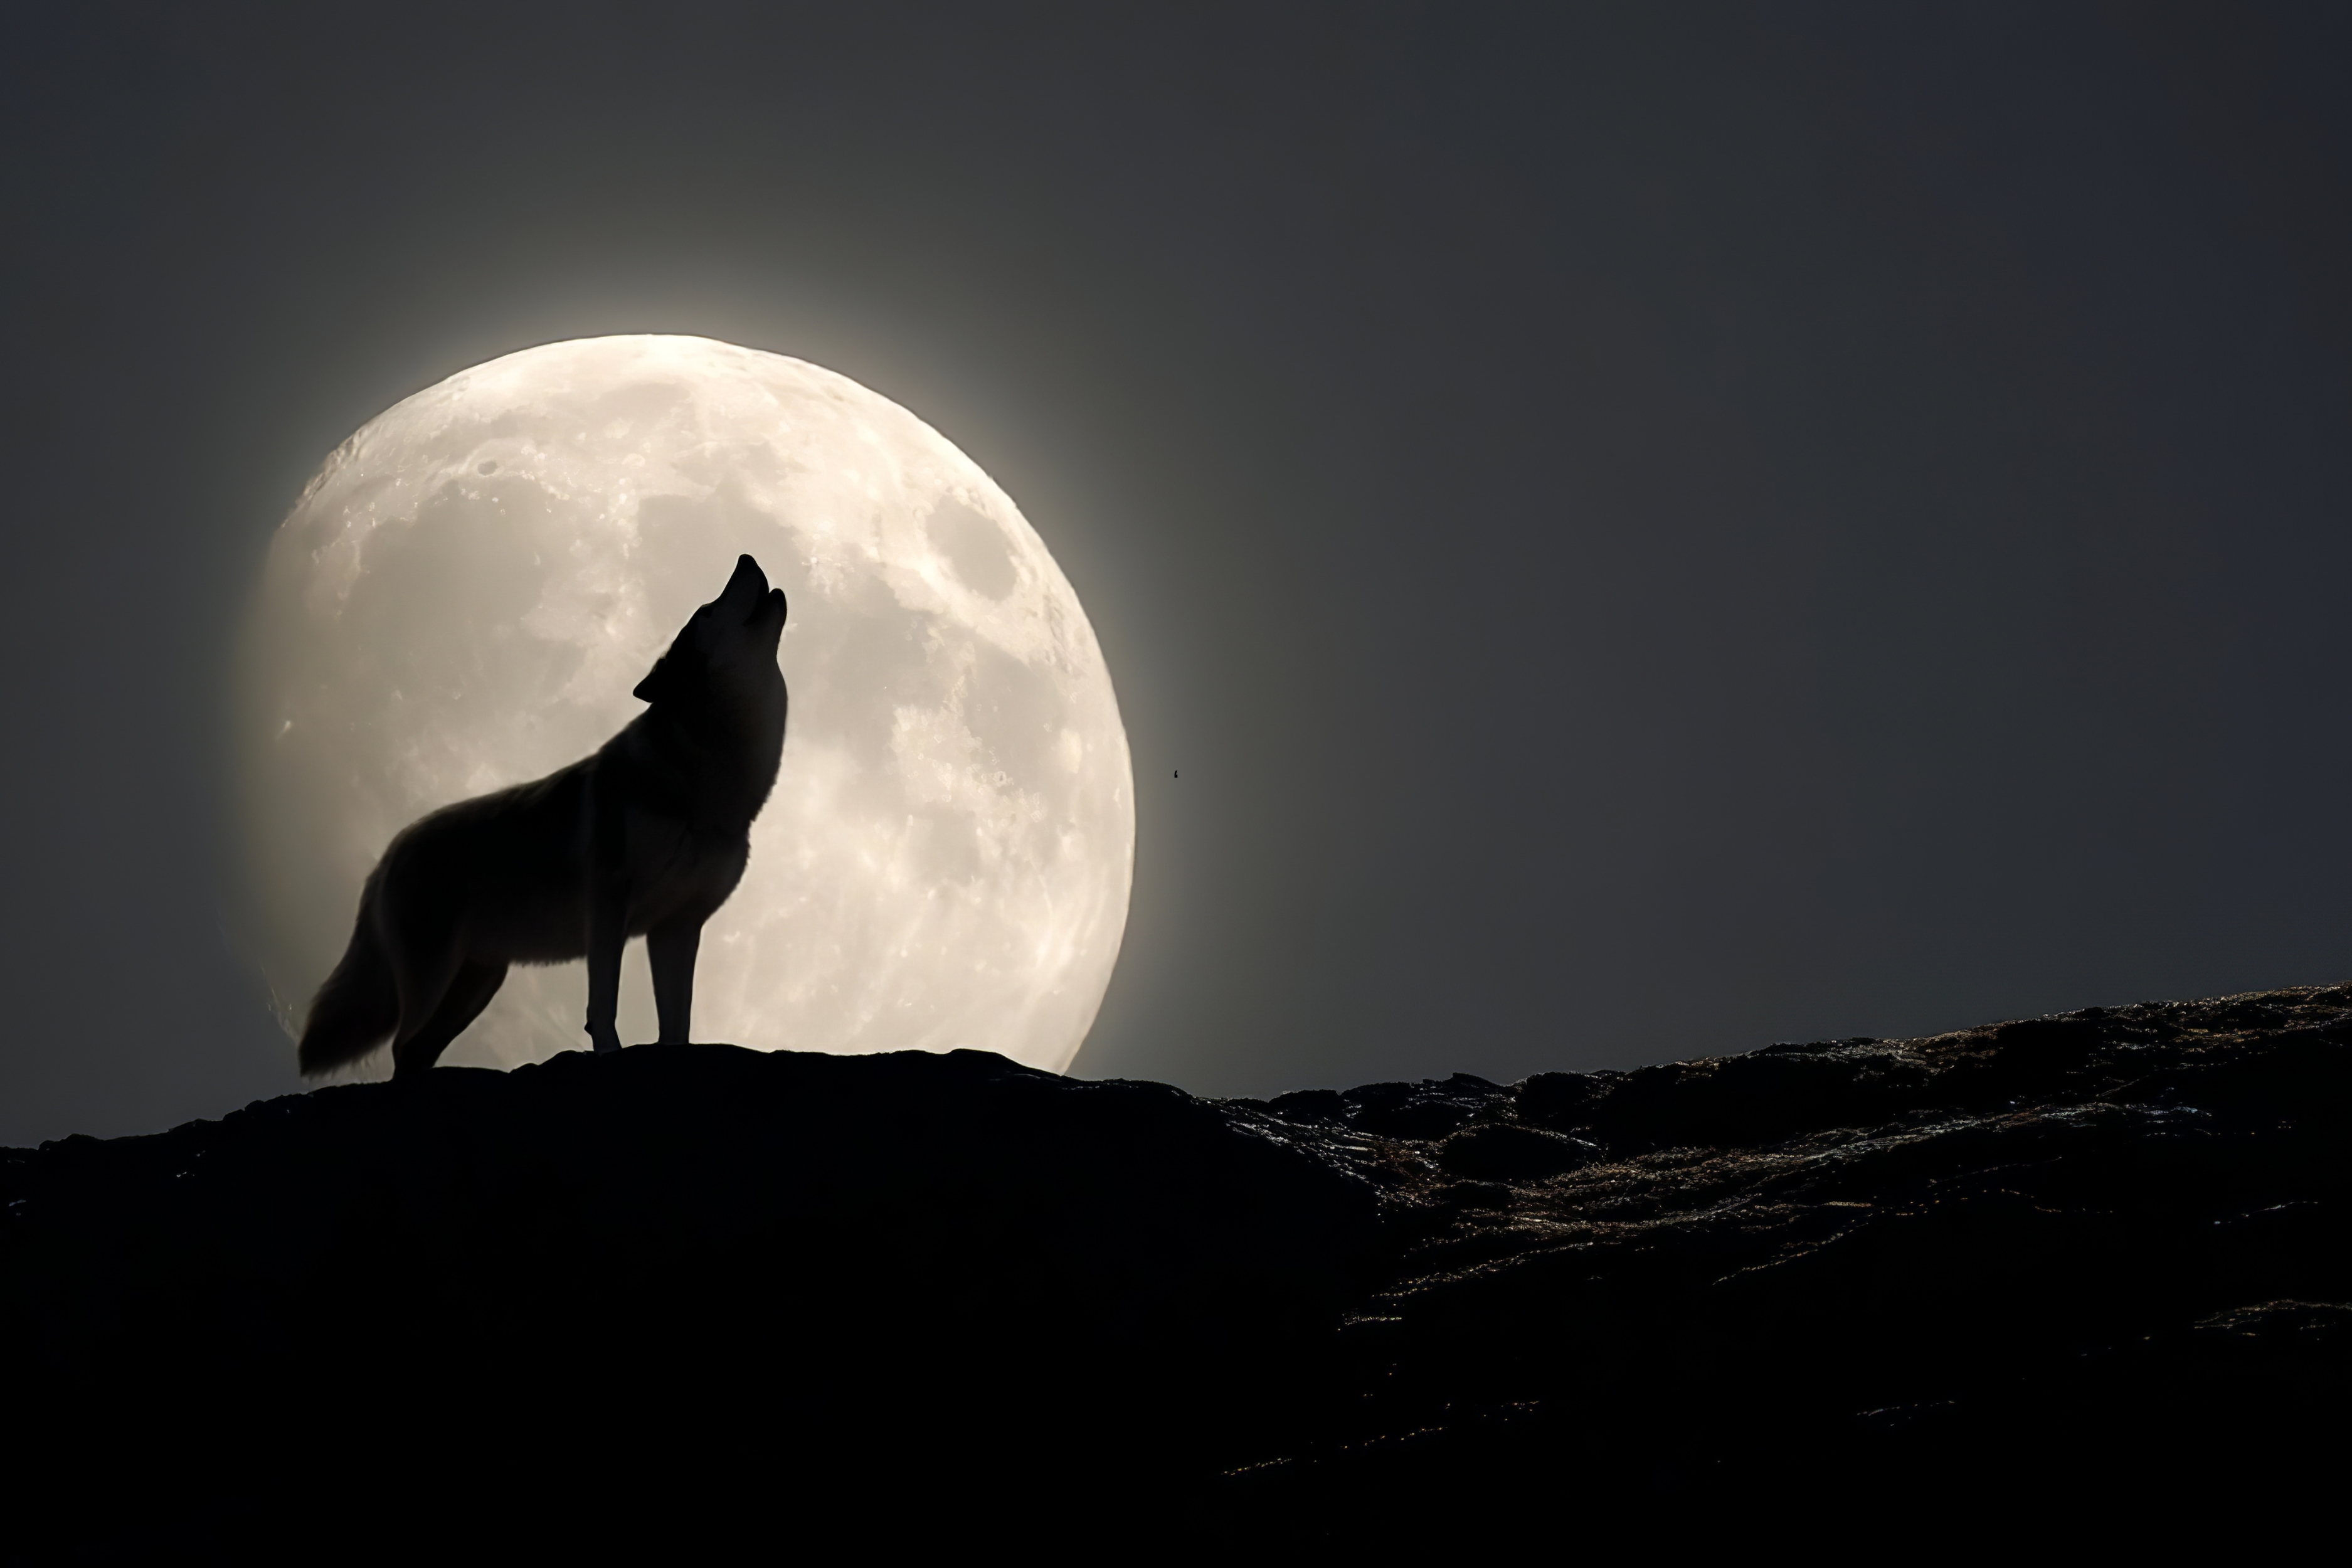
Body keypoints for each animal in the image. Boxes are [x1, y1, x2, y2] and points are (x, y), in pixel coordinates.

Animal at [298, 555, 790, 1079]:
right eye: (705, 611)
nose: (746, 558)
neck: (701, 781)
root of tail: (391, 852)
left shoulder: (677, 928)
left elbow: (677, 1028)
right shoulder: (609, 906)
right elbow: (604, 1005)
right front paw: (609, 1055)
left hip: (479, 985)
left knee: (417, 1051)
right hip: (436, 980)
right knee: (402, 1047)